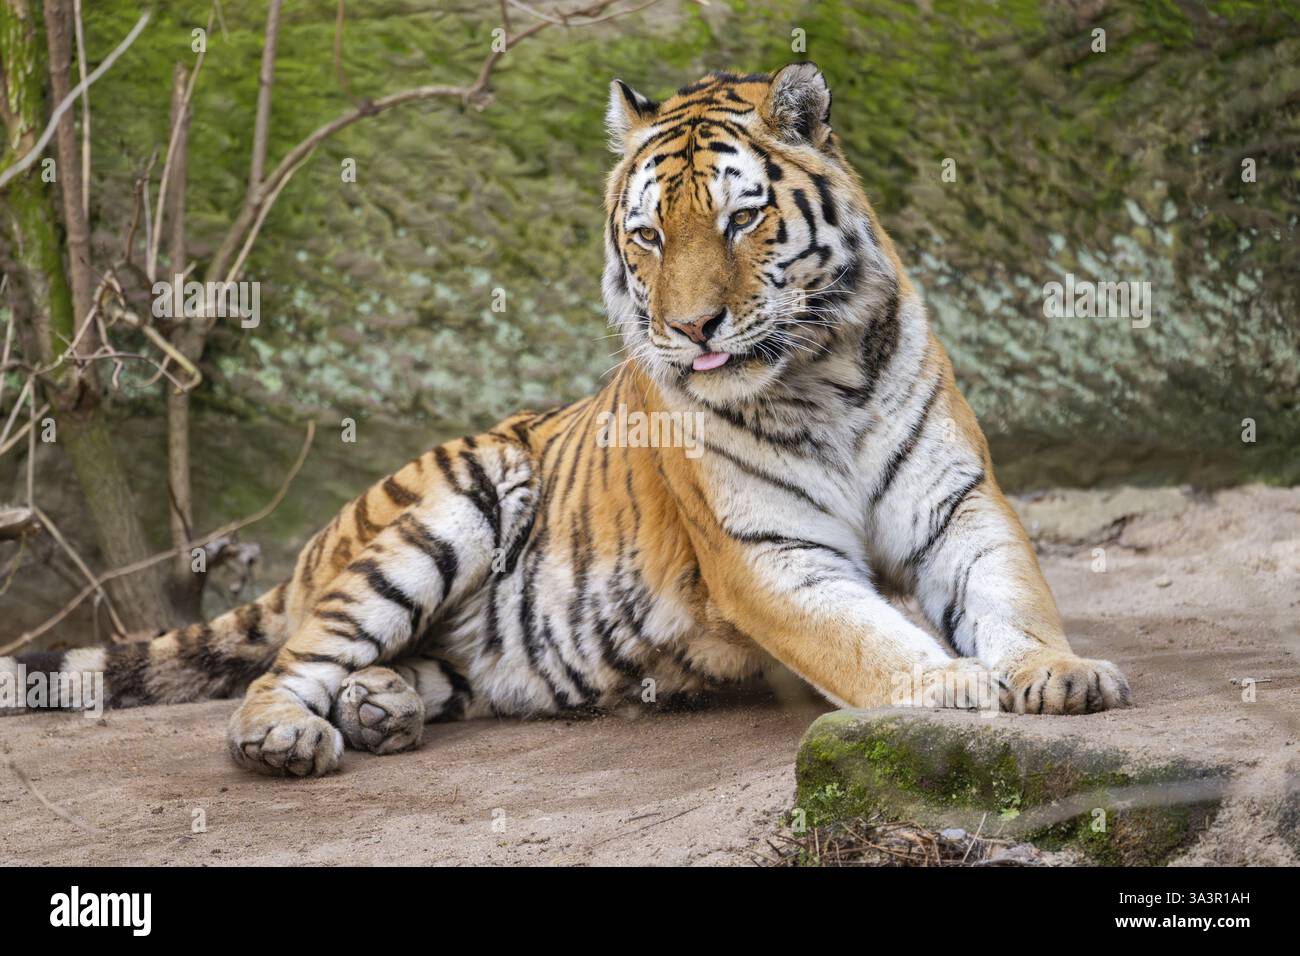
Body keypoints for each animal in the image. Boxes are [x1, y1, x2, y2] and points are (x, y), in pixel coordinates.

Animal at [2, 64, 1131, 776]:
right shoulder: (771, 557)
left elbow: (1017, 599)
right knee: (289, 664)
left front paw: (1059, 673)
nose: (691, 329)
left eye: (741, 218)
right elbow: (871, 643)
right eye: (648, 234)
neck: (825, 372)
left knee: (396, 667)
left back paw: (380, 707)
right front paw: (951, 686)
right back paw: (289, 738)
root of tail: (327, 535)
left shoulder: (961, 507)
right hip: (444, 510)